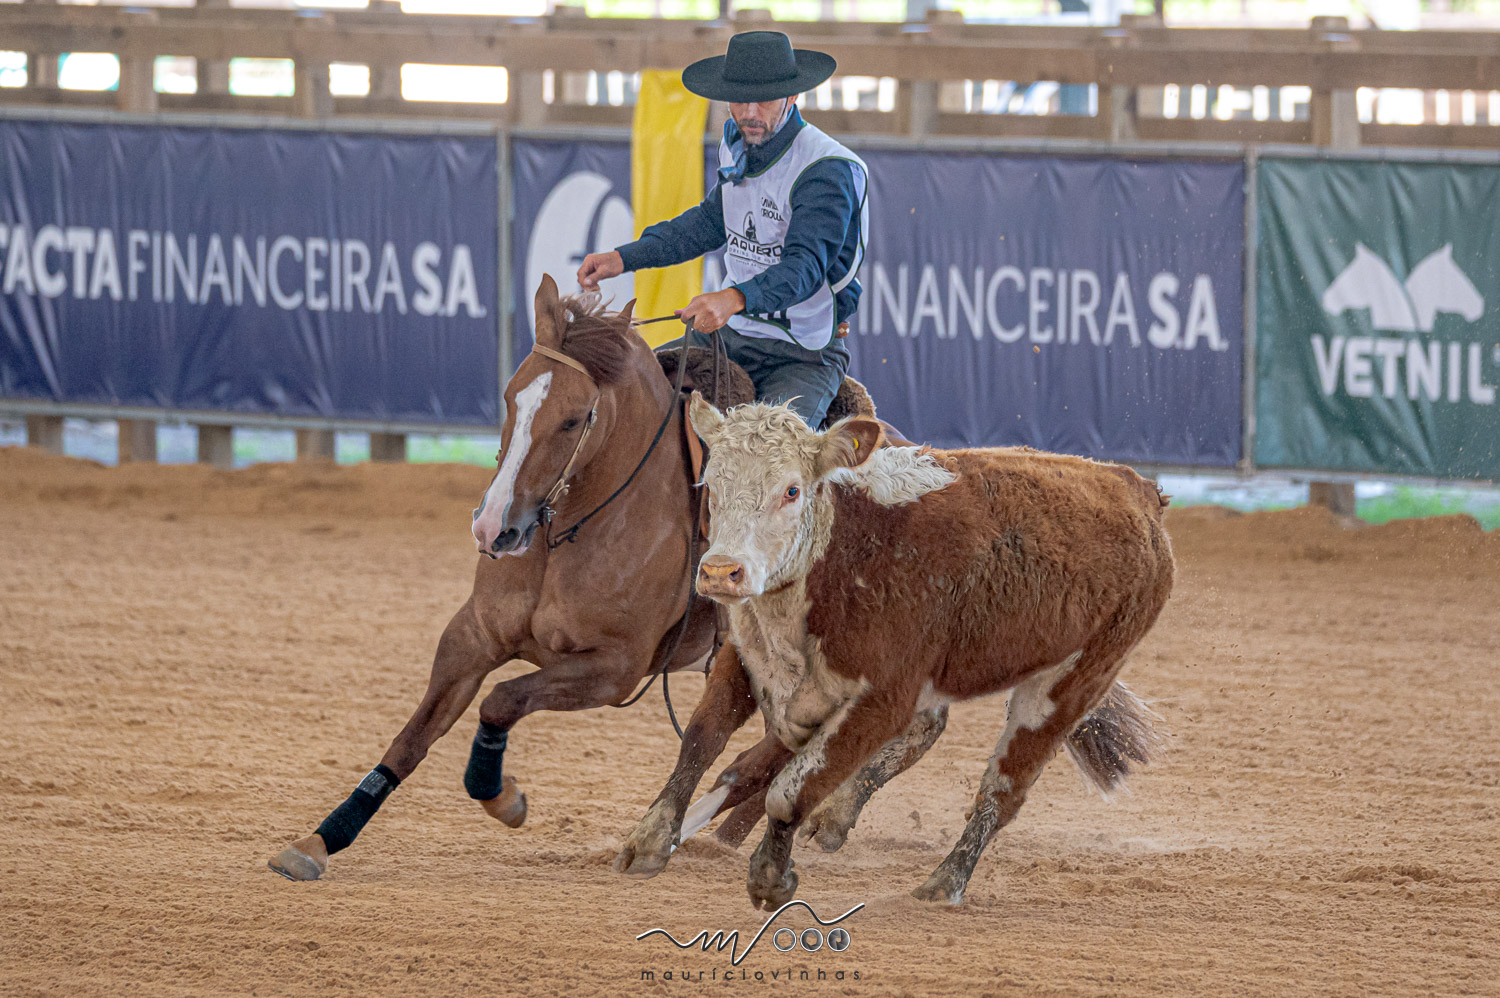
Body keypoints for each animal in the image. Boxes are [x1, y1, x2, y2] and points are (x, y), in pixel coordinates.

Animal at [616, 397, 1174, 908]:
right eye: (711, 485)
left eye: (791, 490)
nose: (721, 572)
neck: (845, 552)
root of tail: (1137, 487)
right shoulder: (747, 657)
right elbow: (702, 740)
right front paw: (650, 839)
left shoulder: (884, 698)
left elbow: (790, 790)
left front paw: (771, 877)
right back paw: (833, 818)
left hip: (1072, 682)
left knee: (1002, 790)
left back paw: (944, 883)